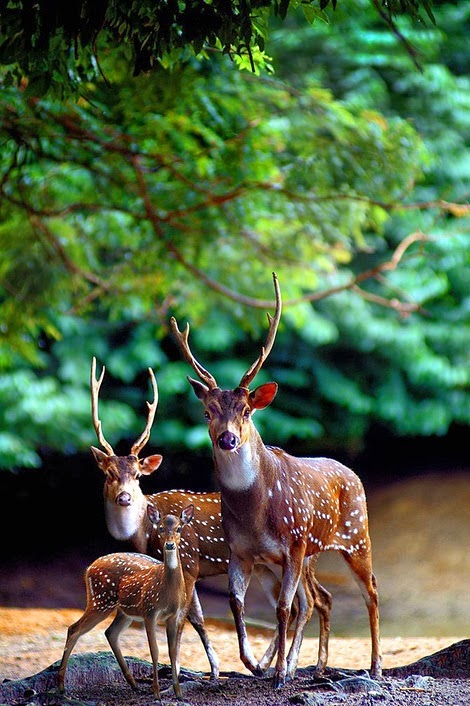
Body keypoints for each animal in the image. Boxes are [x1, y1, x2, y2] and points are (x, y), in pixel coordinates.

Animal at [57, 504, 195, 700]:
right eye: (160, 528)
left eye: (179, 528)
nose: (169, 545)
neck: (167, 592)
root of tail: (88, 568)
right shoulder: (149, 611)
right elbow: (155, 651)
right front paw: (156, 693)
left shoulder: (173, 616)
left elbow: (173, 651)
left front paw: (178, 693)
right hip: (101, 601)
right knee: (74, 628)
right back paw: (61, 686)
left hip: (123, 611)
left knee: (110, 632)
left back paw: (134, 683)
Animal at [90, 357, 333, 678]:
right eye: (108, 474)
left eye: (138, 475)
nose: (124, 498)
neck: (145, 533)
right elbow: (195, 617)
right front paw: (209, 669)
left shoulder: (188, 559)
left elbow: (189, 617)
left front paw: (200, 669)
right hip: (269, 564)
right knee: (305, 603)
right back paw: (277, 665)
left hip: (302, 556)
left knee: (311, 601)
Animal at [170, 271, 382, 689]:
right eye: (206, 412)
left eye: (247, 410)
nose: (227, 438)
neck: (255, 512)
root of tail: (353, 474)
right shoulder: (242, 551)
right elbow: (237, 603)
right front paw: (254, 664)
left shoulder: (293, 543)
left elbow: (283, 608)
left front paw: (279, 673)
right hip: (309, 553)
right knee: (319, 598)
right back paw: (312, 666)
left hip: (355, 535)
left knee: (369, 590)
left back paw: (375, 666)